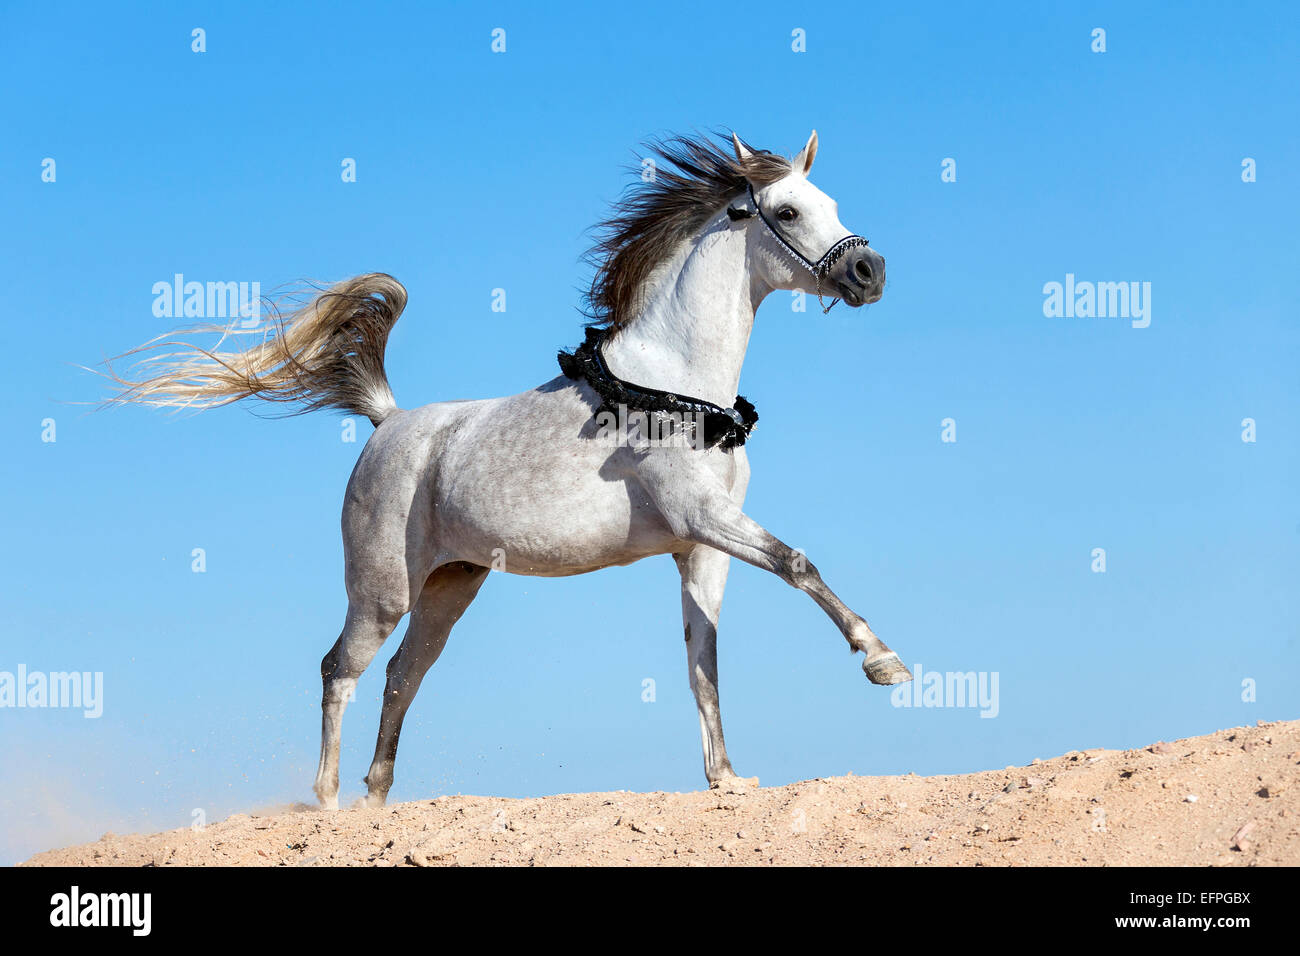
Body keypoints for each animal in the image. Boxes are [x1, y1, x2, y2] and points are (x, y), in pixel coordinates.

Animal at [103, 130, 913, 809]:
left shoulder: (700, 548)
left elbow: (702, 659)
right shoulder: (704, 519)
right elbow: (799, 563)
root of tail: (388, 421)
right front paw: (884, 662)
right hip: (382, 593)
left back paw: (376, 800)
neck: (676, 388)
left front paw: (726, 778)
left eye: (830, 203)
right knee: (341, 671)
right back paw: (329, 802)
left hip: (451, 586)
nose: (869, 271)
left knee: (401, 677)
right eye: (787, 210)